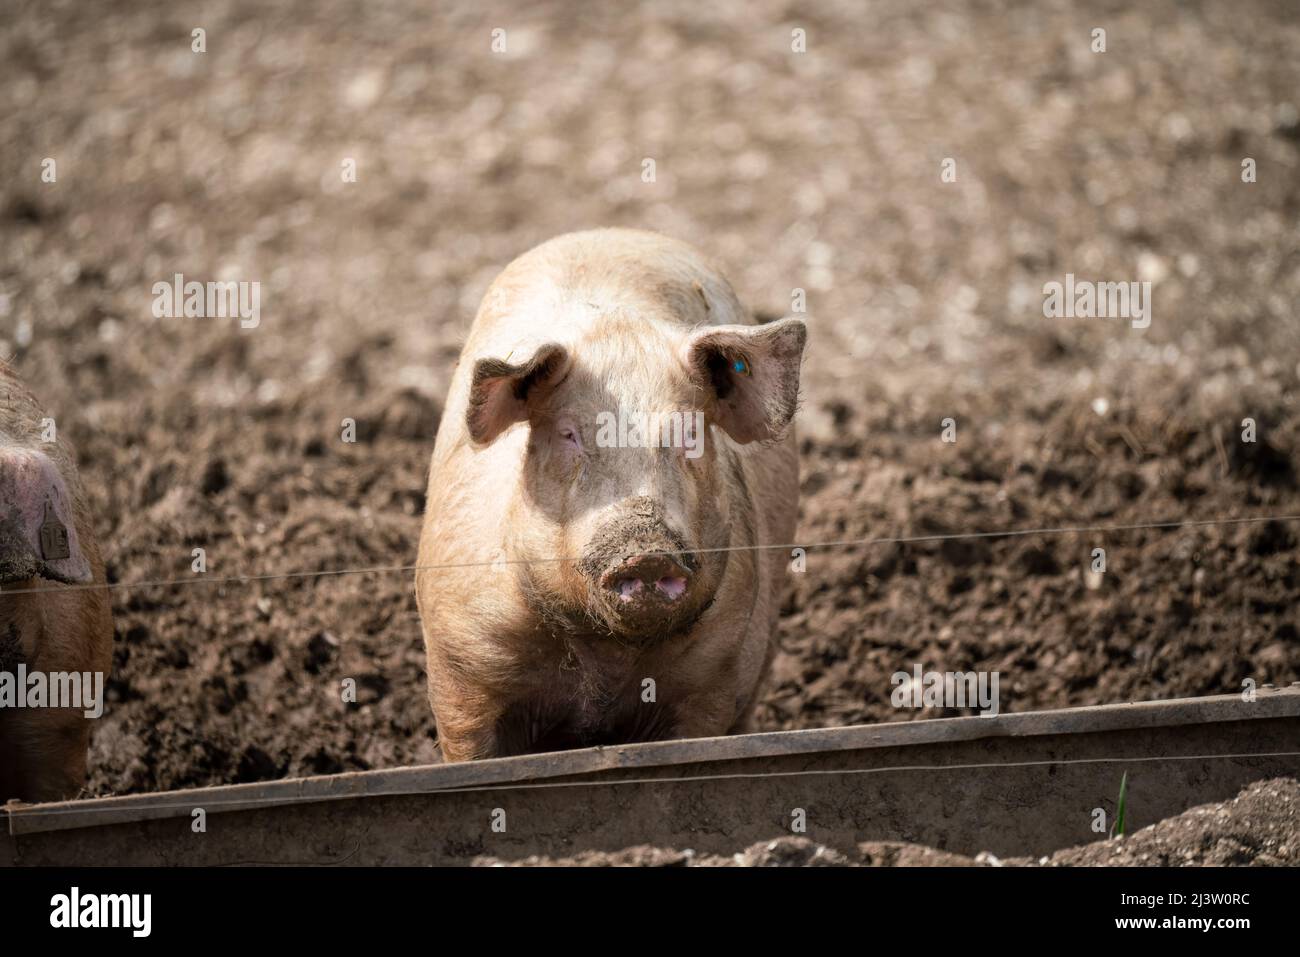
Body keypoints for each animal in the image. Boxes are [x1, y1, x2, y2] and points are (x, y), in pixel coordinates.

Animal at [416, 229, 806, 761]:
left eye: (690, 433)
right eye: (568, 435)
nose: (646, 550)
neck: (604, 653)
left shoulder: (715, 674)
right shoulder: (462, 668)